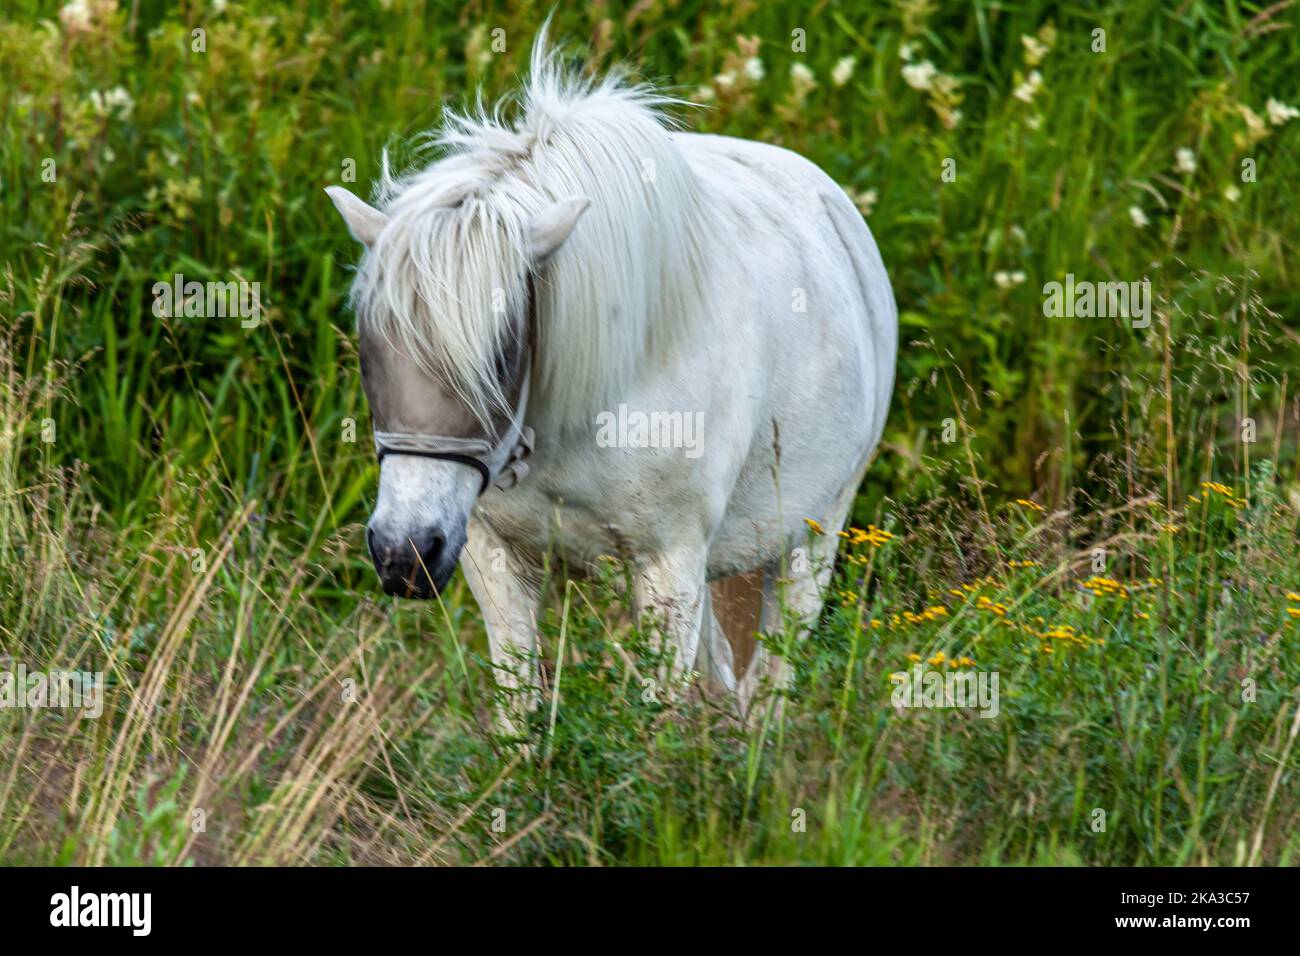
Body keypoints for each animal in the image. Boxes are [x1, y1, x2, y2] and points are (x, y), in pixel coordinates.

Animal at [326, 33, 897, 734]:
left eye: (501, 355)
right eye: (372, 348)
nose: (403, 554)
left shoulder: (669, 564)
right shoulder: (495, 556)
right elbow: (518, 712)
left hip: (815, 535)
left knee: (771, 684)